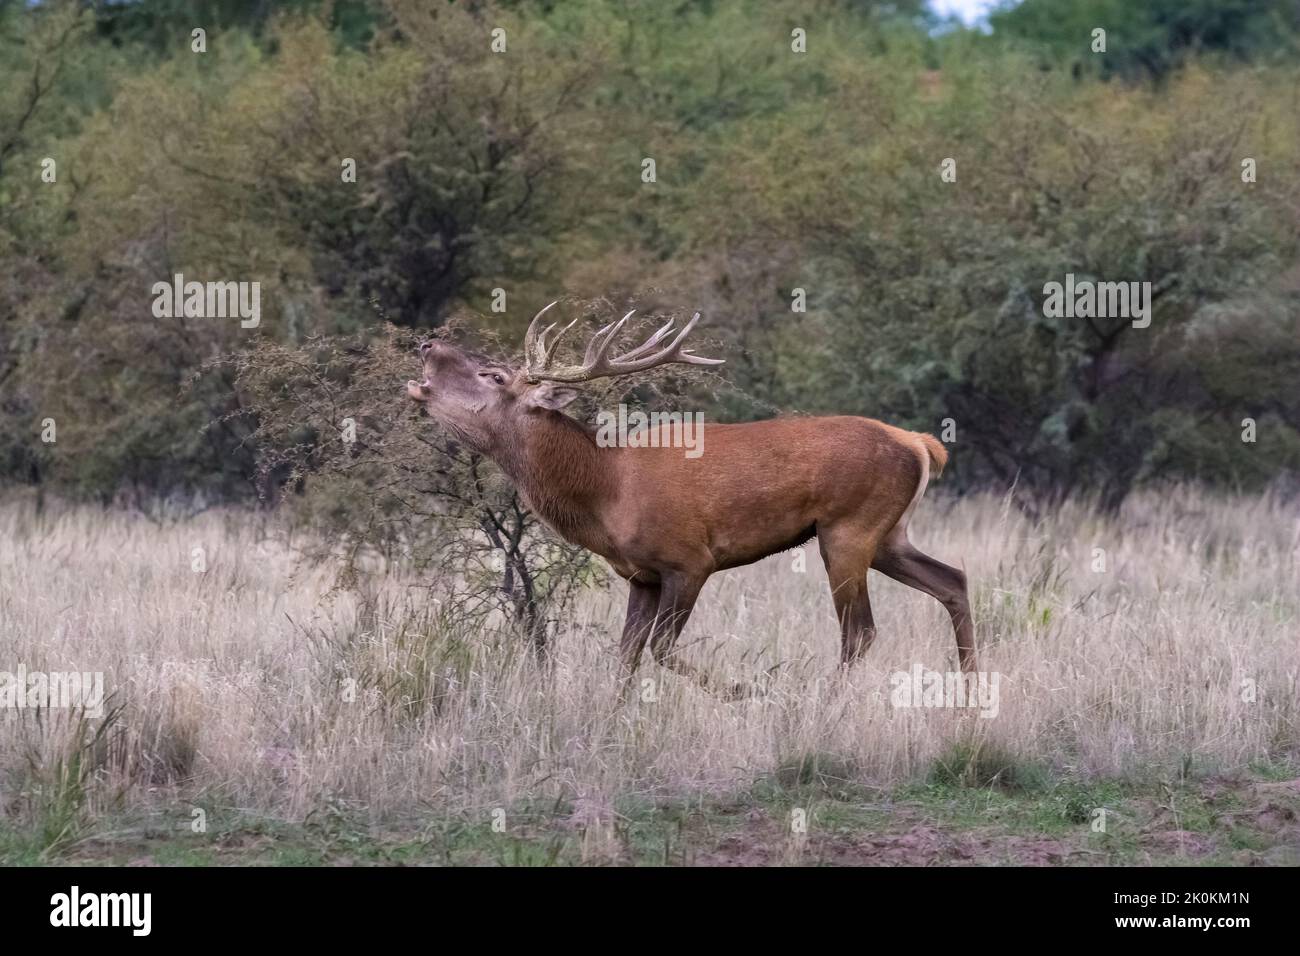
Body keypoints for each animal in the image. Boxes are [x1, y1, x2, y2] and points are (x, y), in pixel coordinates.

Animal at [406, 303, 975, 698]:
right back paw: (971, 690)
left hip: (848, 528)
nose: (428, 344)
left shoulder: (689, 559)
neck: (606, 495)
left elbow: (658, 648)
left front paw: (748, 691)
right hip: (888, 534)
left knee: (860, 632)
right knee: (953, 580)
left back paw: (825, 702)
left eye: (494, 375)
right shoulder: (640, 575)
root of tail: (920, 444)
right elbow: (626, 655)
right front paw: (612, 719)